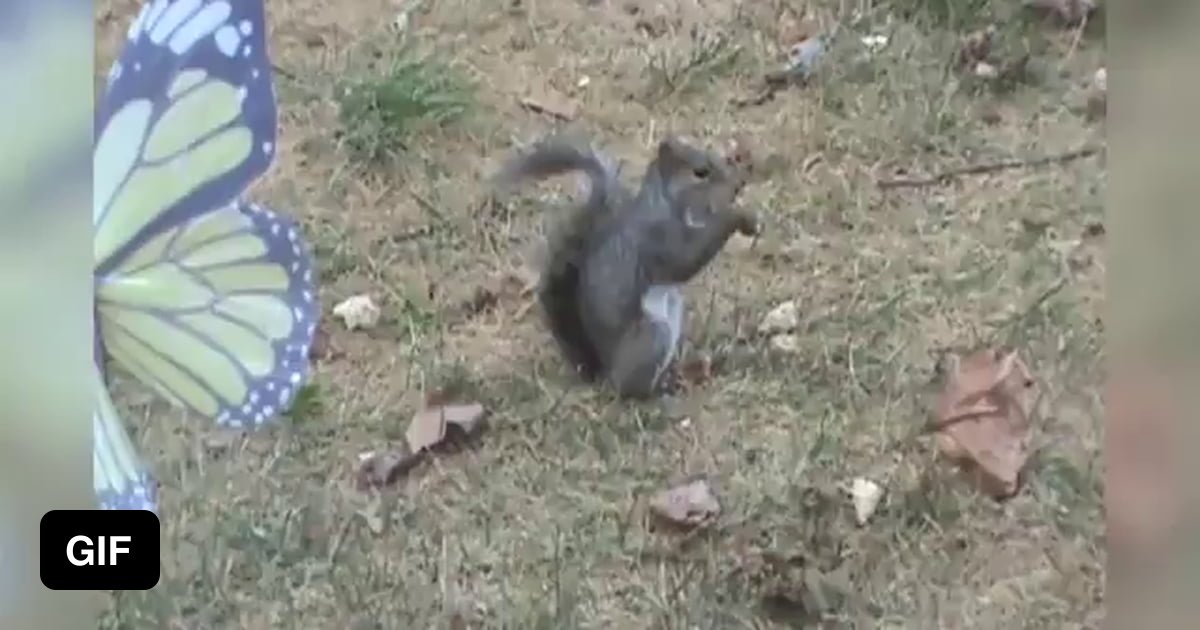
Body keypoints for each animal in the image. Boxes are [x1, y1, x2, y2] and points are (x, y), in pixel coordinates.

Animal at [491, 132, 758, 399]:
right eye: (700, 172)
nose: (738, 186)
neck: (667, 204)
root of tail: (605, 375)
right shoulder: (656, 238)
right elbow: (685, 259)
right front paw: (738, 216)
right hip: (653, 336)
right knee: (630, 389)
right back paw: (659, 394)